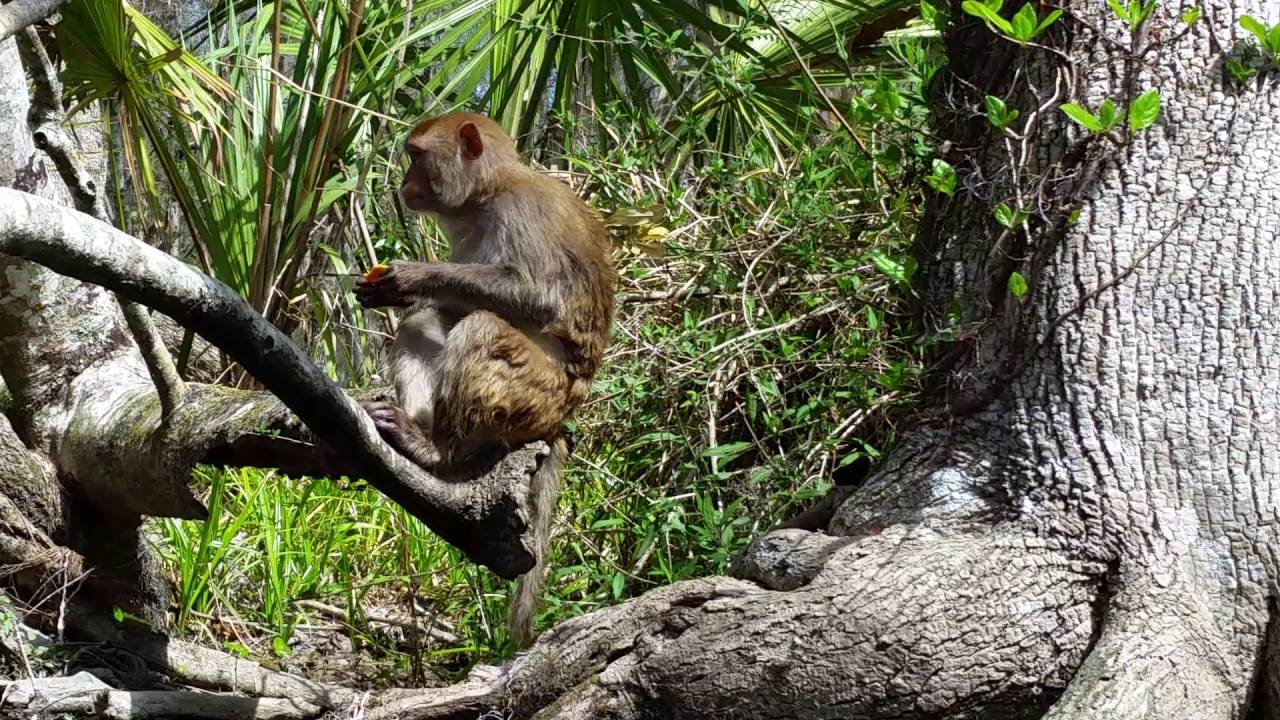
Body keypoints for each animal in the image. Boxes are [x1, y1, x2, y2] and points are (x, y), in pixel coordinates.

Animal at [354, 112, 616, 647]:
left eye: (416, 156)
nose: (404, 183)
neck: (487, 195)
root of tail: (558, 421)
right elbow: (444, 308)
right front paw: (396, 294)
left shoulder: (521, 214)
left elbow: (538, 298)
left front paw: (412, 276)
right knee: (427, 322)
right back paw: (417, 425)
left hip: (535, 395)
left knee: (484, 329)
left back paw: (440, 452)